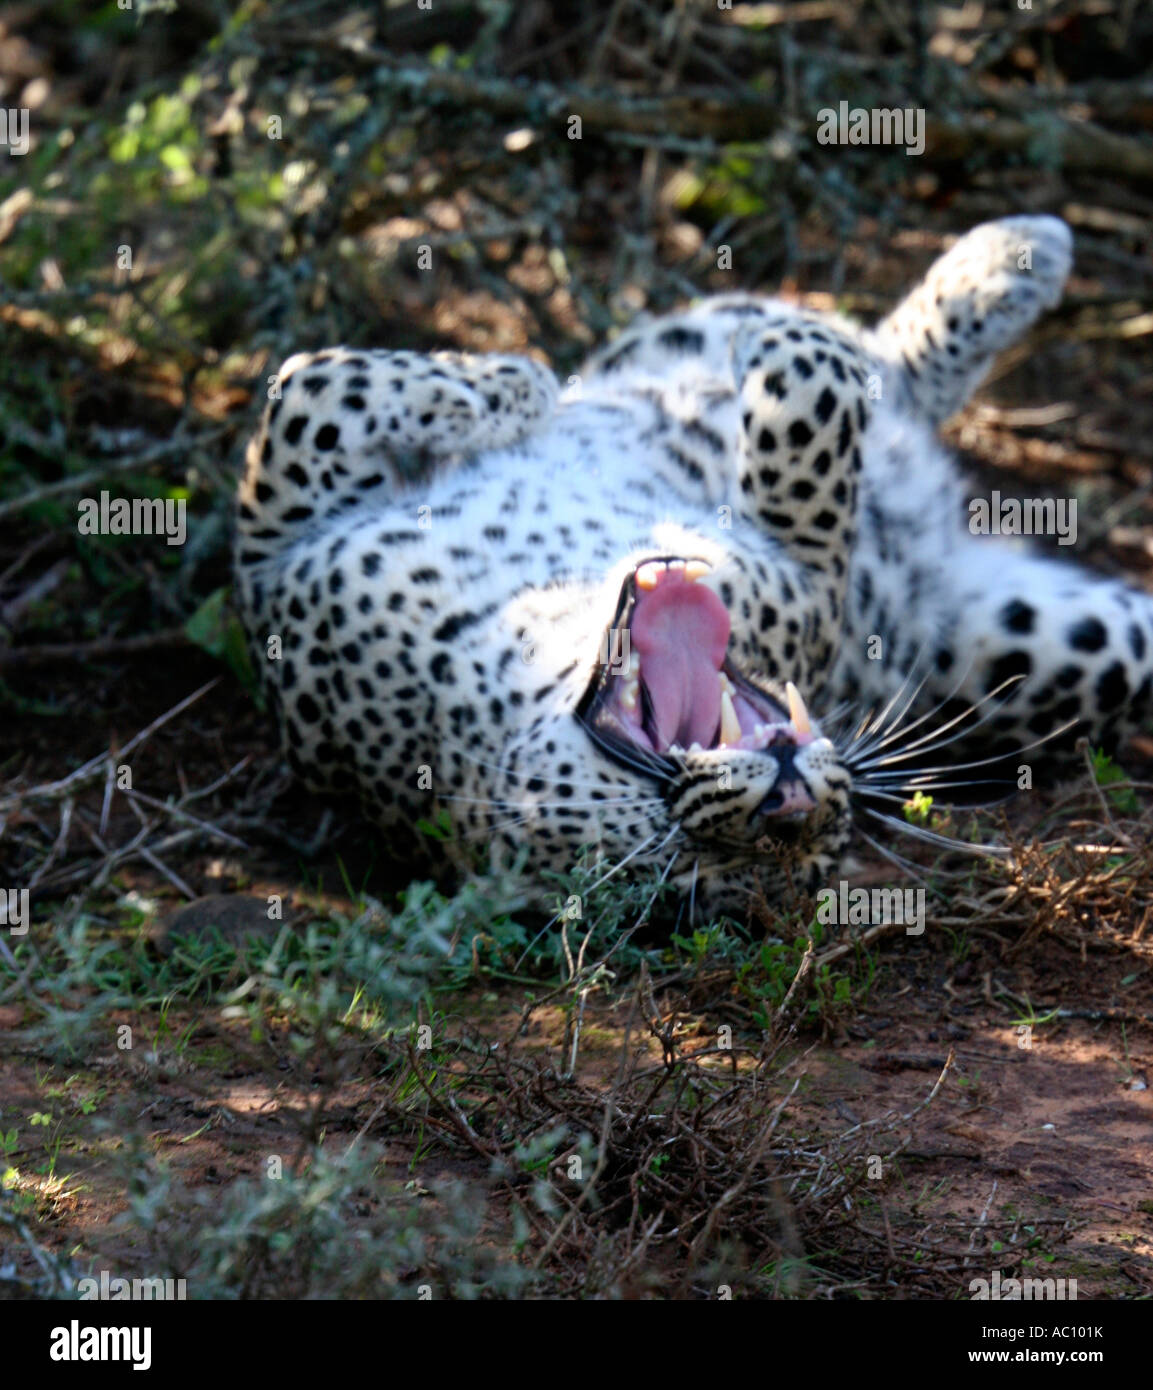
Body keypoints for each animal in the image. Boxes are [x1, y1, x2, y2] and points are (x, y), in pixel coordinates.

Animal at [234, 216, 1153, 923]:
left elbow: (306, 391)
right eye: (687, 864)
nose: (791, 805)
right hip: (1061, 648)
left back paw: (1013, 255)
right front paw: (512, 388)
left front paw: (509, 385)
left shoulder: (282, 553)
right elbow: (813, 432)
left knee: (882, 363)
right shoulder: (805, 585)